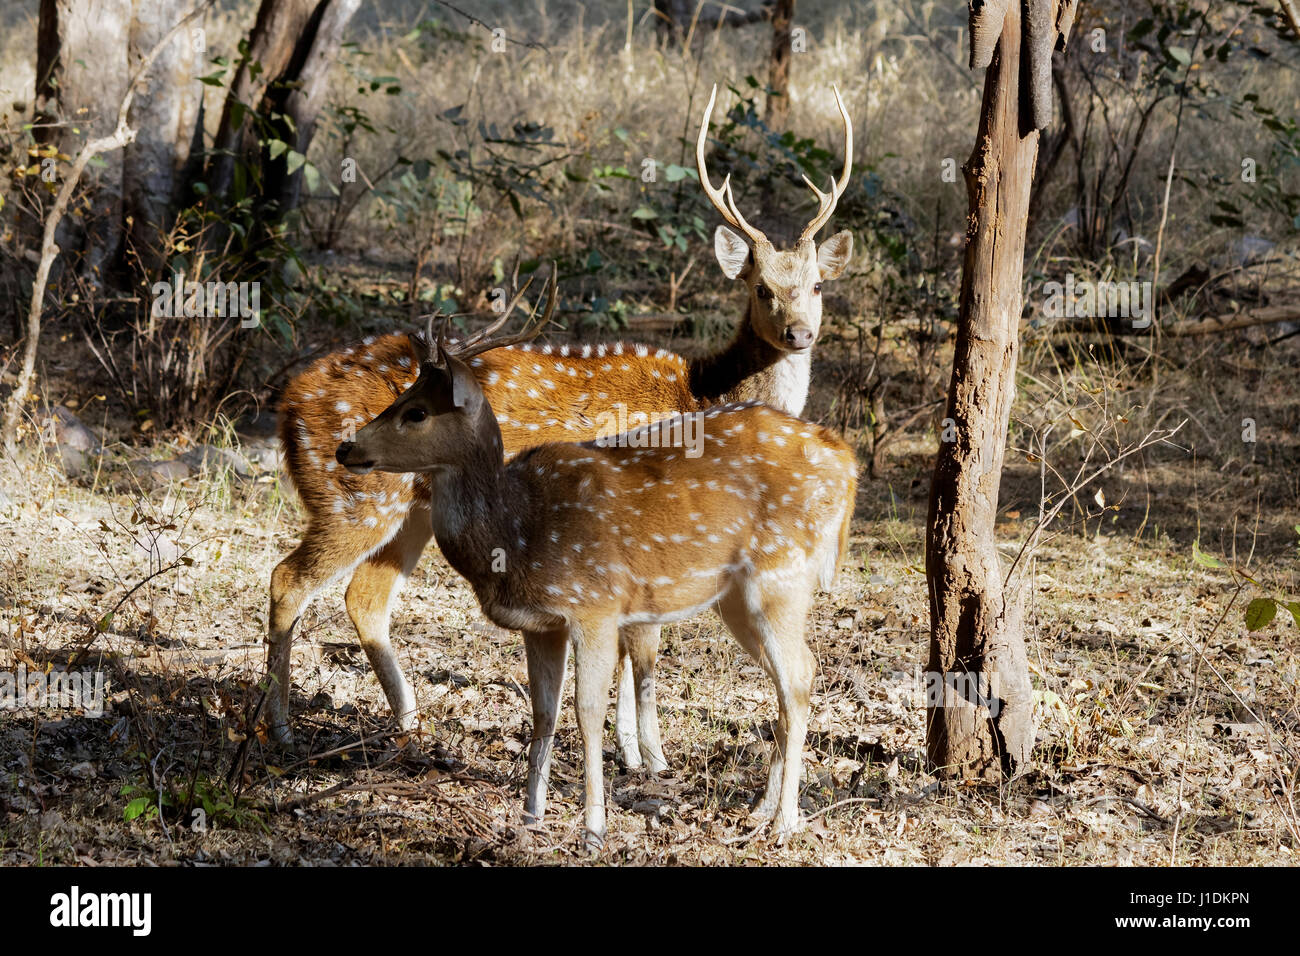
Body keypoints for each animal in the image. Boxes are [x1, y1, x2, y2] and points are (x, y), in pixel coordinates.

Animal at [267, 84, 855, 766]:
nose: (799, 333)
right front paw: (647, 755)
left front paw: (630, 751)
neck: (703, 393)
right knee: (288, 579)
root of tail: (287, 406)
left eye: (817, 286)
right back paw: (278, 727)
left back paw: (409, 722)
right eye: (761, 288)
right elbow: (641, 649)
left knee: (364, 595)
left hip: (410, 507)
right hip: (353, 498)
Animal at [334, 312, 858, 846]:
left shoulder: (595, 605)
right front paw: (531, 820)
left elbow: (587, 712)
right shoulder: (542, 625)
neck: (516, 533)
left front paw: (593, 829)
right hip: (737, 598)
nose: (346, 447)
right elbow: (543, 714)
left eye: (416, 412)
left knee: (798, 677)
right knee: (797, 674)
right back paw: (761, 808)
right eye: (403, 396)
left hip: (781, 575)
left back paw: (785, 823)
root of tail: (848, 462)